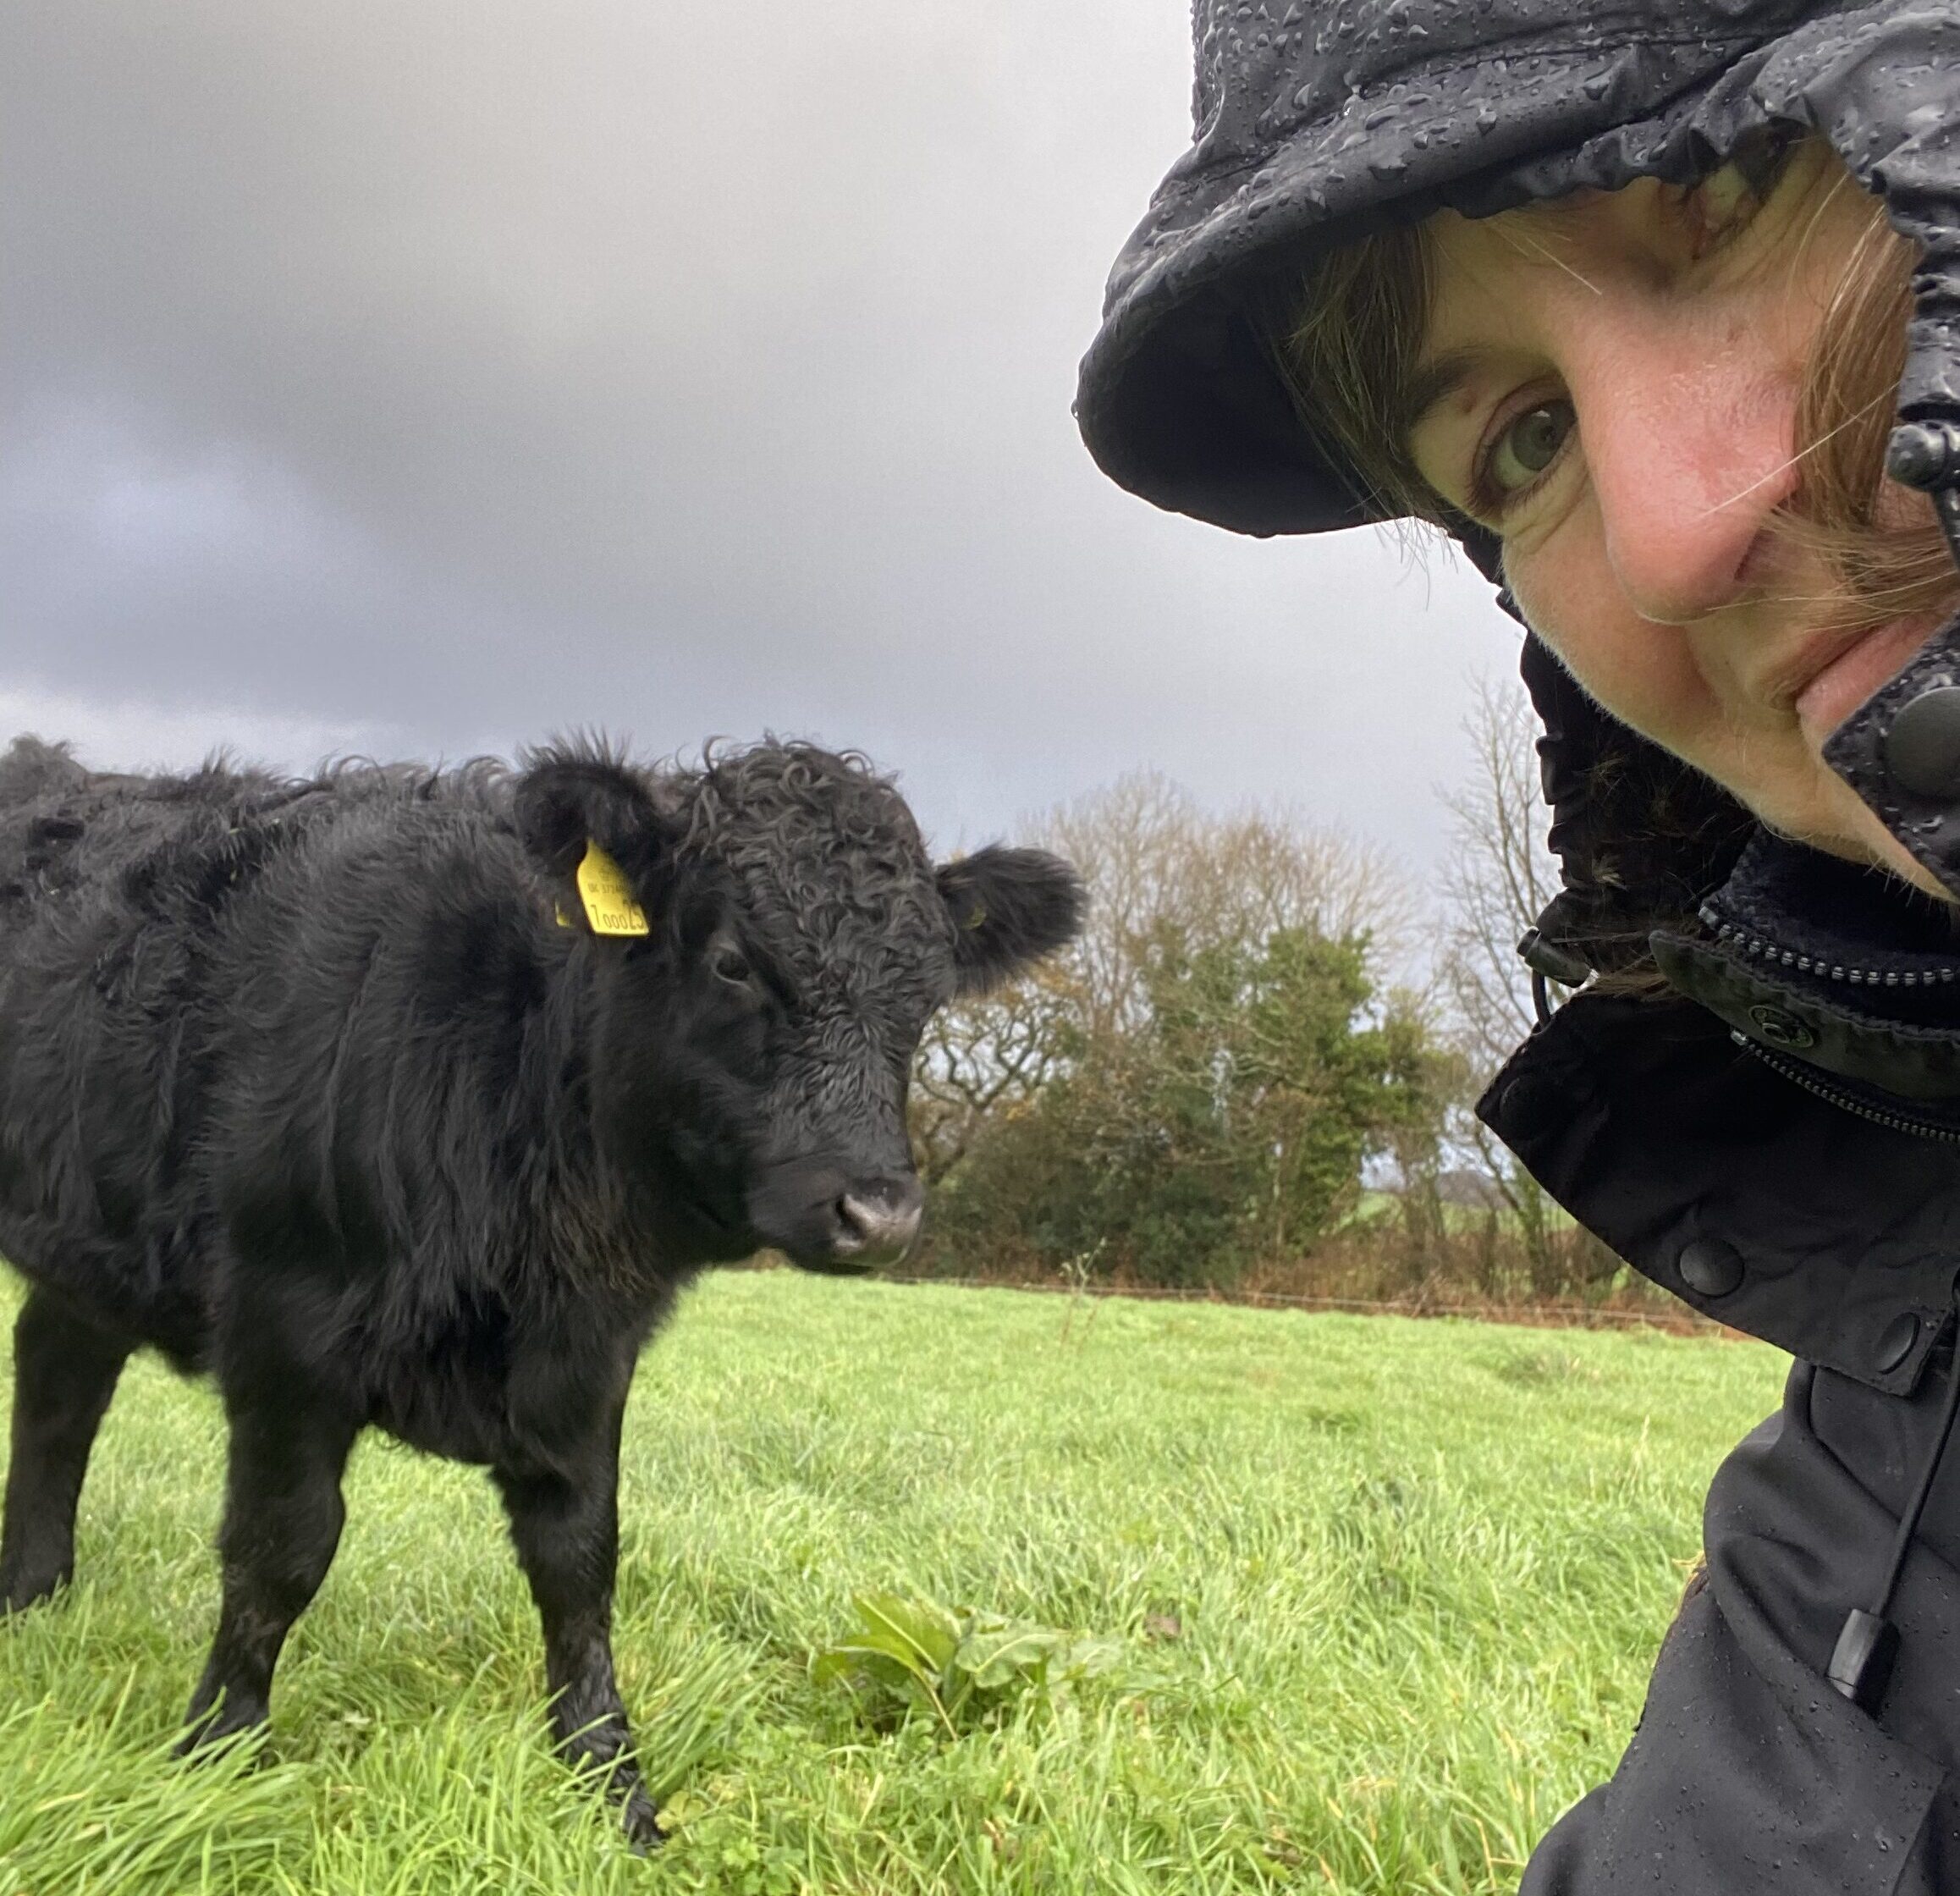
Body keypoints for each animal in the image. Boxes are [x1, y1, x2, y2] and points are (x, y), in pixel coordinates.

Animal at [0, 733, 1081, 1844]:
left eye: (927, 997)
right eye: (733, 960)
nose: (880, 1213)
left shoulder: (588, 1358)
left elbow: (580, 1561)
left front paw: (613, 1783)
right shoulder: (282, 1325)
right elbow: (280, 1549)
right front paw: (218, 1754)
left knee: (56, 1379)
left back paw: (33, 1593)